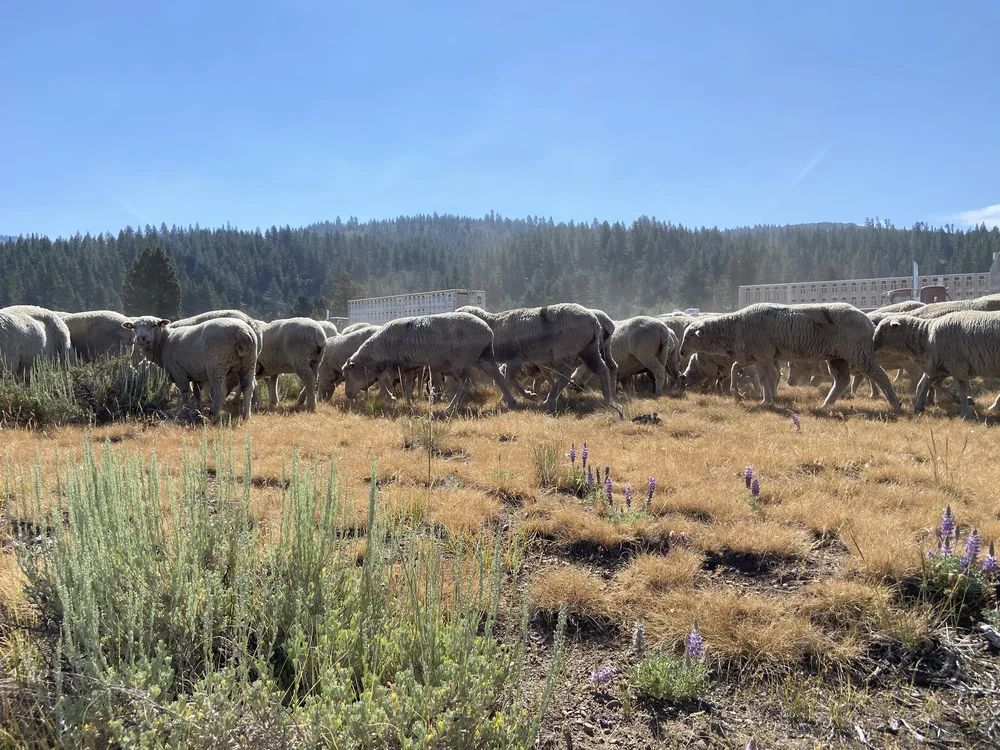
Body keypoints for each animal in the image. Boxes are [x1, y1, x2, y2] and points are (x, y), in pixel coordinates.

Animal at [124, 316, 257, 422]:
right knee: (248, 388)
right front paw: (197, 409)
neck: (164, 341)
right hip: (249, 363)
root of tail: (242, 332)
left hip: (217, 366)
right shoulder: (196, 373)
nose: (141, 338)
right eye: (134, 327)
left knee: (220, 391)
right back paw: (246, 416)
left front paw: (185, 411)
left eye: (154, 325)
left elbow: (185, 392)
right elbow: (197, 393)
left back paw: (214, 418)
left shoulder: (178, 370)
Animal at [342, 312, 517, 414]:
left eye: (348, 375)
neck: (379, 348)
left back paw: (450, 408)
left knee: (466, 384)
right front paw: (408, 404)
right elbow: (407, 387)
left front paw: (392, 398)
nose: (347, 395)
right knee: (499, 377)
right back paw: (511, 401)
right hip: (484, 356)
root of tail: (488, 331)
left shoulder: (393, 365)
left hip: (462, 361)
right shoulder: (409, 368)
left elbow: (383, 380)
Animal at [456, 303, 615, 411]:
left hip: (566, 350)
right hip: (589, 349)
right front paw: (515, 397)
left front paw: (529, 396)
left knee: (565, 375)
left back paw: (550, 400)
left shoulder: (516, 358)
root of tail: (595, 321)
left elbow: (510, 379)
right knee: (603, 369)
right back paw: (607, 398)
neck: (495, 326)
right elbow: (508, 379)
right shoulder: (514, 360)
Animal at [680, 303, 901, 411]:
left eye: (689, 336)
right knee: (842, 380)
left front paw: (767, 399)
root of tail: (868, 320)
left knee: (880, 375)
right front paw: (739, 394)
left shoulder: (763, 354)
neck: (734, 327)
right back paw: (826, 404)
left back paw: (895, 403)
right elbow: (739, 369)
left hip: (859, 351)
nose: (681, 352)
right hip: (837, 356)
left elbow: (766, 377)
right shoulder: (756, 354)